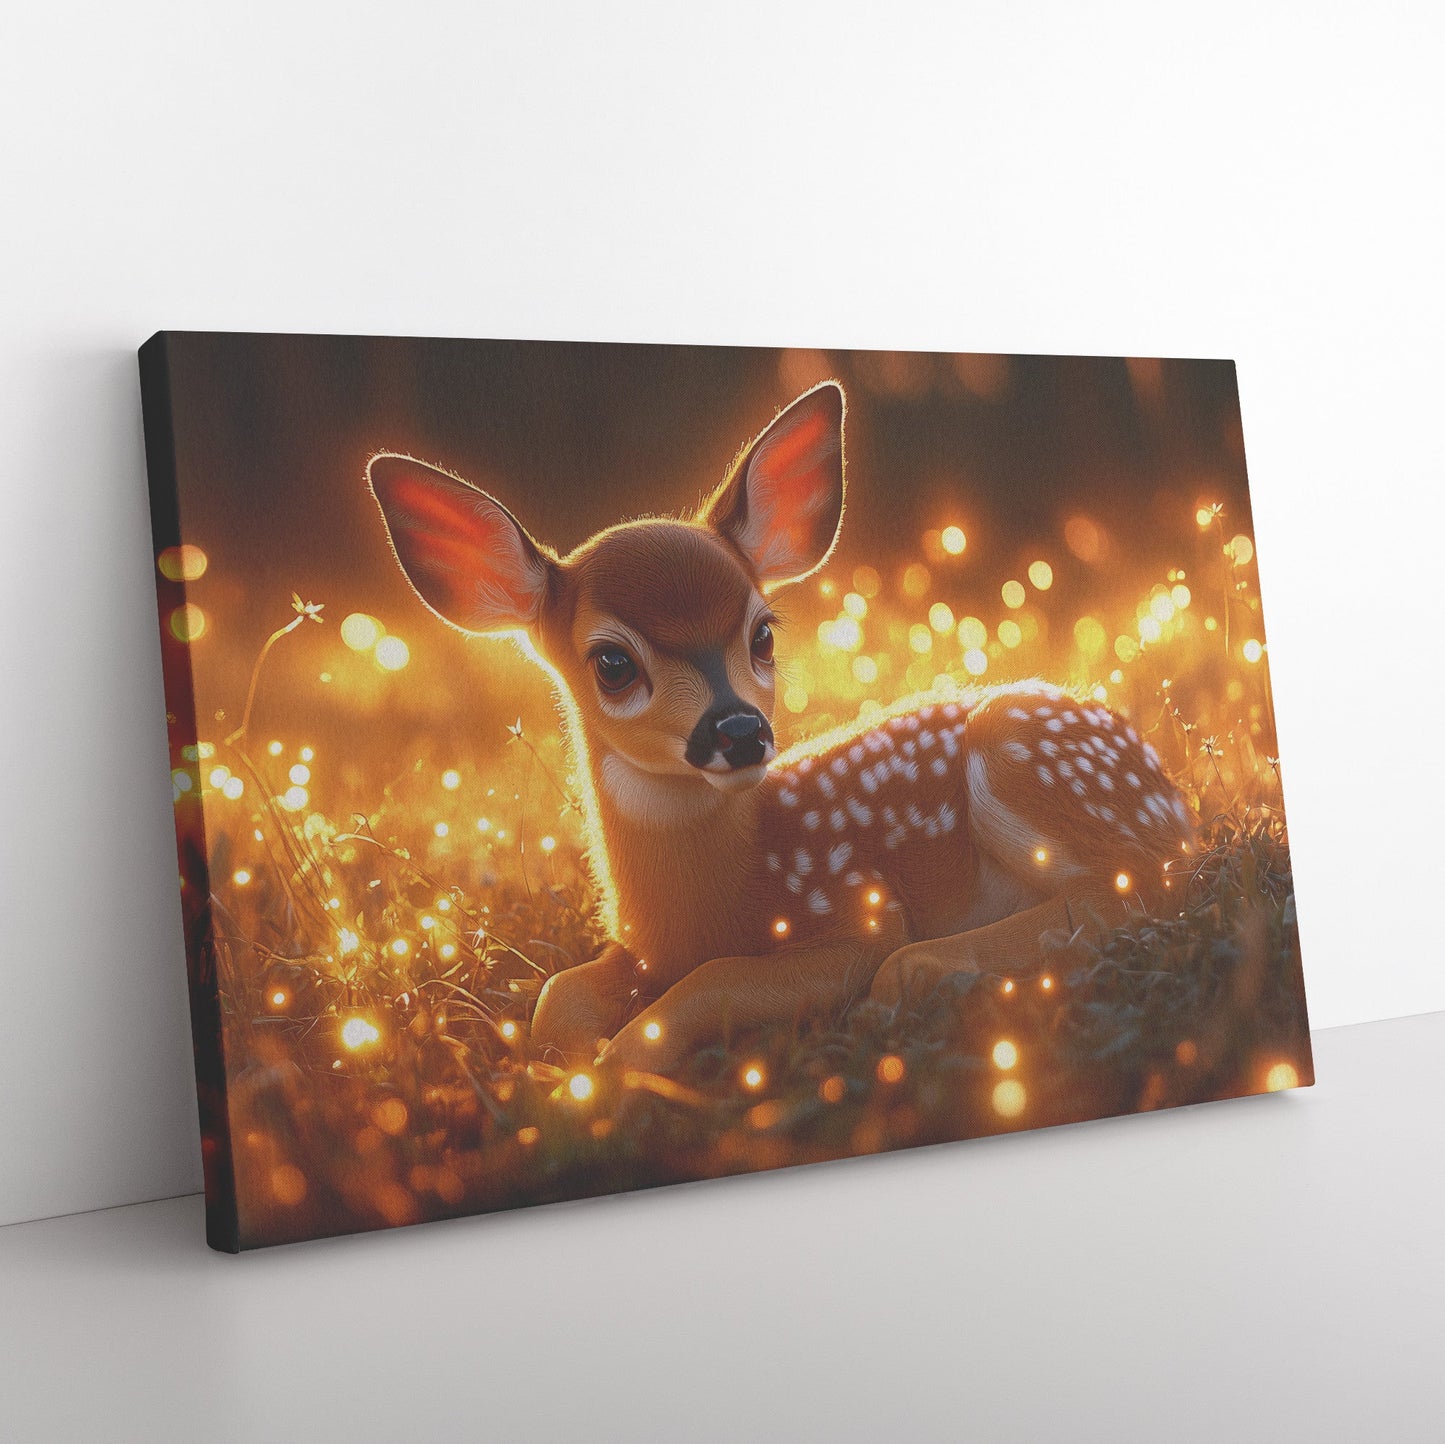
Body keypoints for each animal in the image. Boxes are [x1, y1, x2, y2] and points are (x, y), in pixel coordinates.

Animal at [368, 381, 1194, 1075]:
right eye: (611, 663)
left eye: (762, 633)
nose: (739, 732)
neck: (719, 893)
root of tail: (1165, 788)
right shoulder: (639, 948)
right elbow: (554, 997)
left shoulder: (853, 905)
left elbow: (716, 981)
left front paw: (611, 1072)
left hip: (1024, 756)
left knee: (1134, 885)